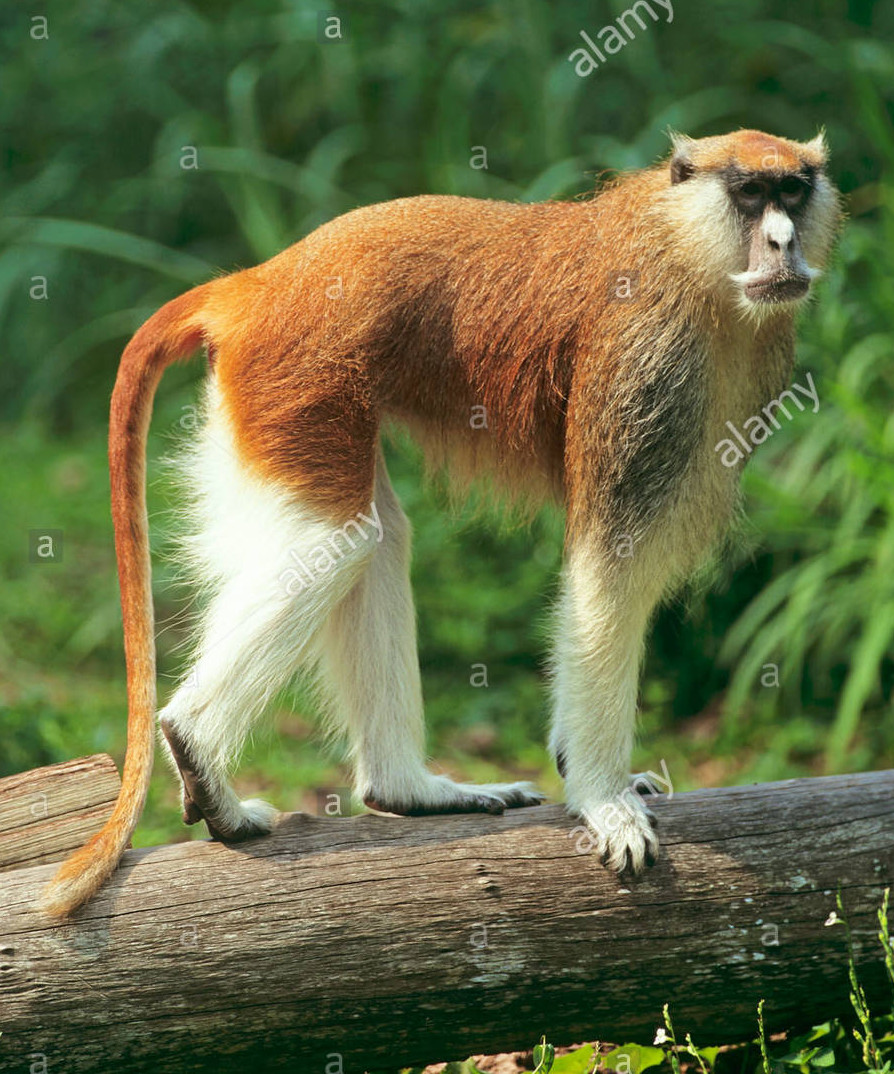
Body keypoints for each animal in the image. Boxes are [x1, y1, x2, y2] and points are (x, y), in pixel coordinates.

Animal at [41, 129, 841, 918]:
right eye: (750, 193)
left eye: (792, 191)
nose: (782, 242)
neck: (684, 247)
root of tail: (262, 281)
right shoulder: (646, 361)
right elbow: (609, 562)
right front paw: (603, 797)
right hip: (295, 377)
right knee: (338, 540)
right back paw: (200, 754)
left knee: (377, 539)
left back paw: (406, 790)